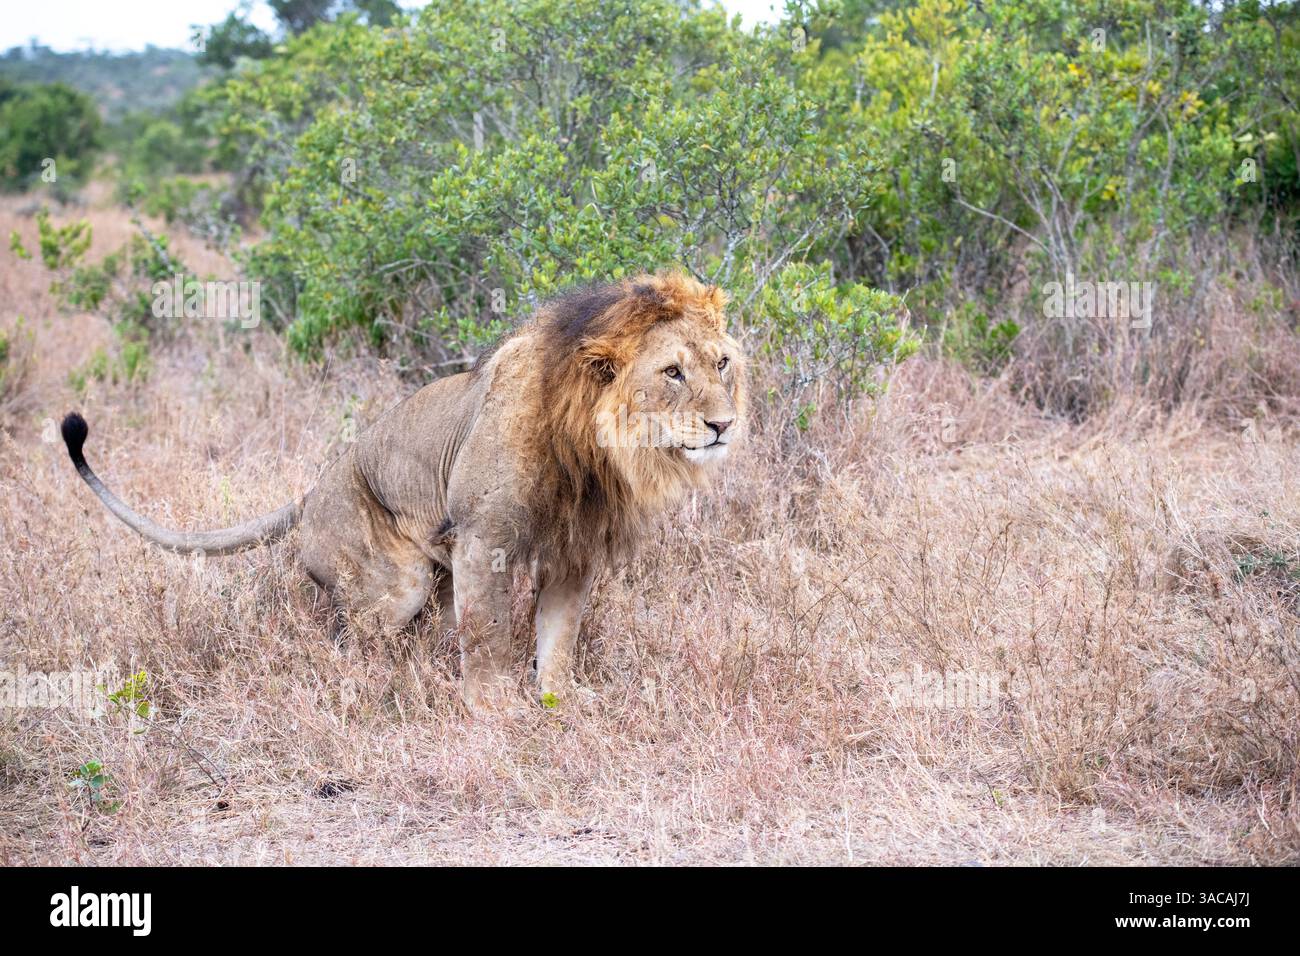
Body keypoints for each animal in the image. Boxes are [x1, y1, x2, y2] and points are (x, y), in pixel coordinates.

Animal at [61, 271, 746, 712]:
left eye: (721, 364)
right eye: (672, 372)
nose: (723, 425)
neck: (596, 450)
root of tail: (312, 488)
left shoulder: (573, 554)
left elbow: (558, 638)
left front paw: (559, 701)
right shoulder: (485, 541)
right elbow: (490, 635)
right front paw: (494, 712)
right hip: (396, 583)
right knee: (348, 644)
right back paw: (374, 687)